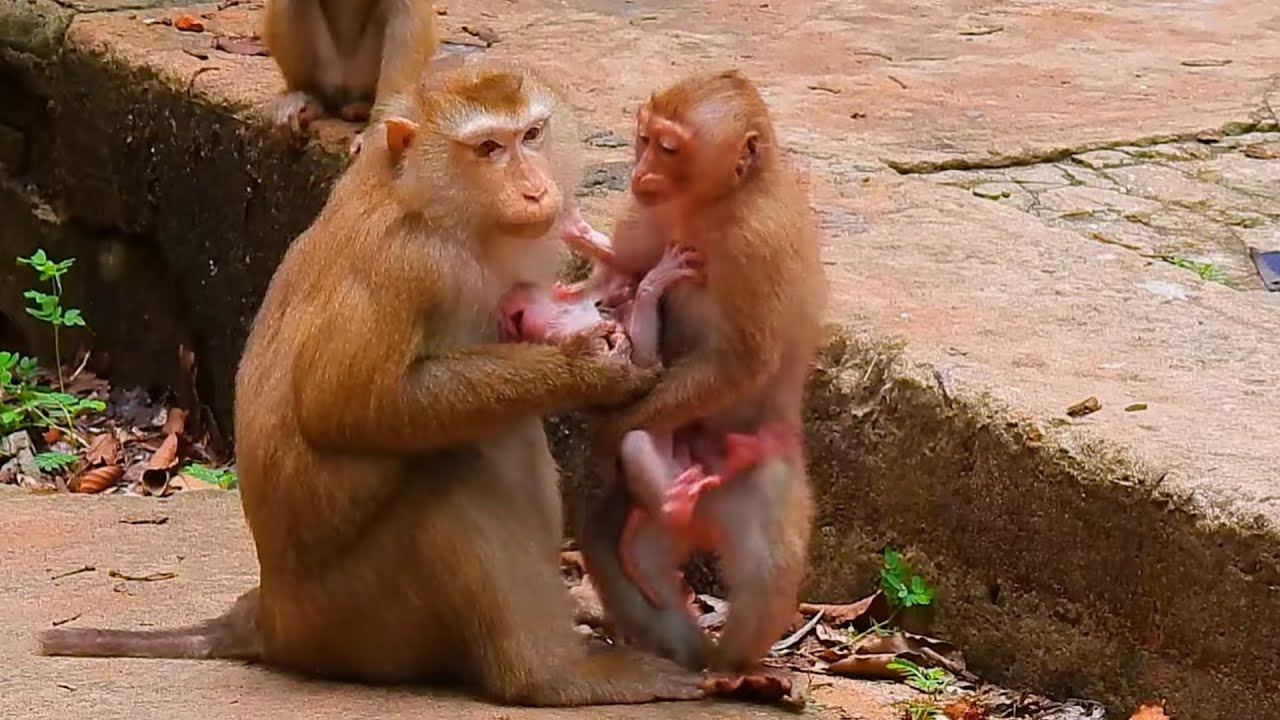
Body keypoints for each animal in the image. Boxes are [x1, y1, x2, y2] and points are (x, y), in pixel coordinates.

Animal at [37, 63, 726, 707]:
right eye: (488, 149)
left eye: (531, 135)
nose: (536, 190)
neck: (431, 203)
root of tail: (271, 618)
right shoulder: (409, 264)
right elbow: (343, 406)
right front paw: (590, 369)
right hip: (361, 622)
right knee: (461, 470)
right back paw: (548, 675)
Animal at [577, 69, 828, 676]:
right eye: (645, 139)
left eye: (669, 148)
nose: (641, 170)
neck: (714, 202)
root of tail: (702, 507)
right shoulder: (647, 211)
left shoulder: (757, 240)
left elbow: (741, 360)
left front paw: (605, 432)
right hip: (652, 506)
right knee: (614, 541)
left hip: (763, 480)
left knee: (767, 572)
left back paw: (729, 663)